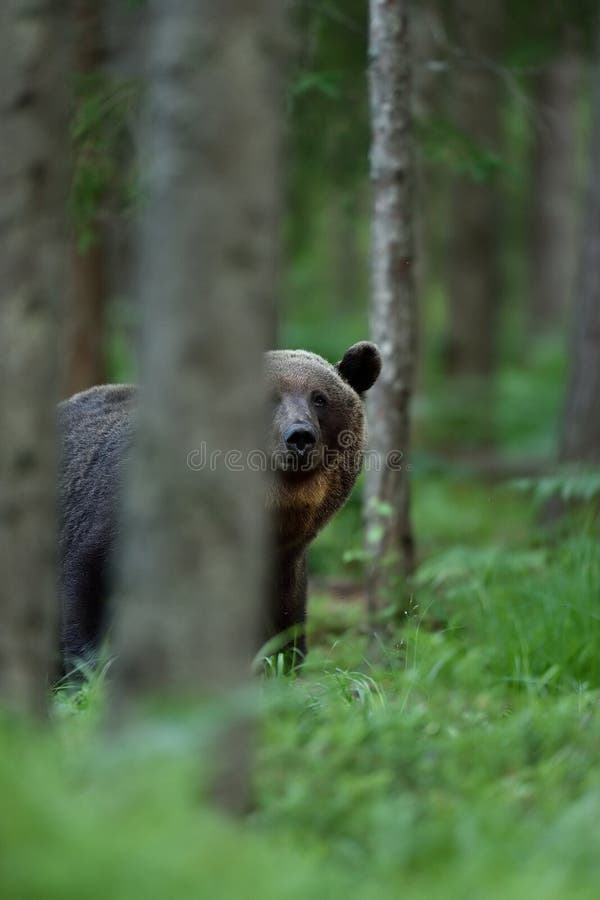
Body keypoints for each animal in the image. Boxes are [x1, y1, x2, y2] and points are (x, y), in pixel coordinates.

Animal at [58, 341, 381, 672]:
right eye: (269, 398)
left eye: (319, 398)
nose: (300, 436)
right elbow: (86, 591)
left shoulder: (282, 562)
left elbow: (282, 626)